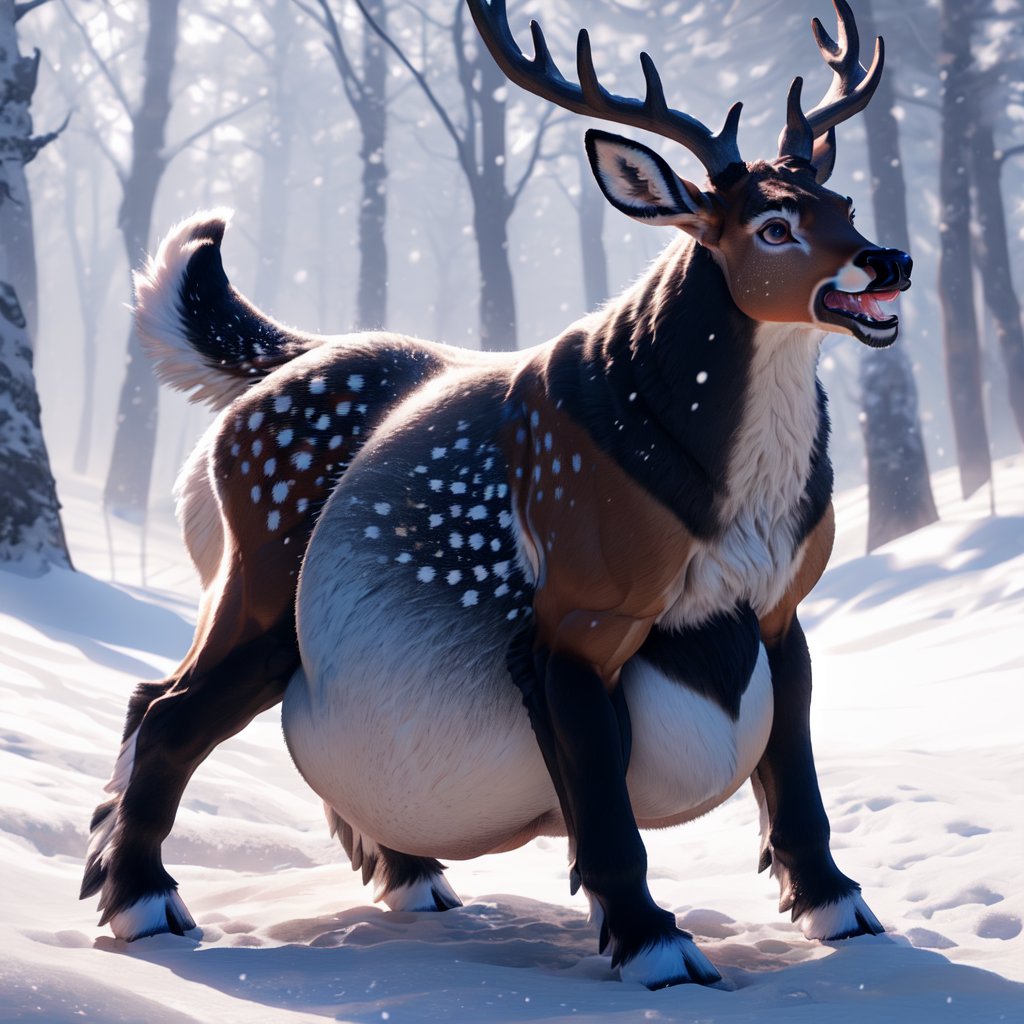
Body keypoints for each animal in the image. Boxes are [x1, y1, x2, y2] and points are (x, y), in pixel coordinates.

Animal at [81, 0, 911, 989]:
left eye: (843, 204)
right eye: (773, 226)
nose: (889, 260)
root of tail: (277, 369)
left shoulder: (782, 608)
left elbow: (796, 772)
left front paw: (842, 909)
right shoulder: (577, 614)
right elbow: (602, 799)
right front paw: (656, 947)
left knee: (171, 700)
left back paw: (408, 880)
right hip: (264, 577)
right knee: (171, 712)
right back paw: (144, 906)